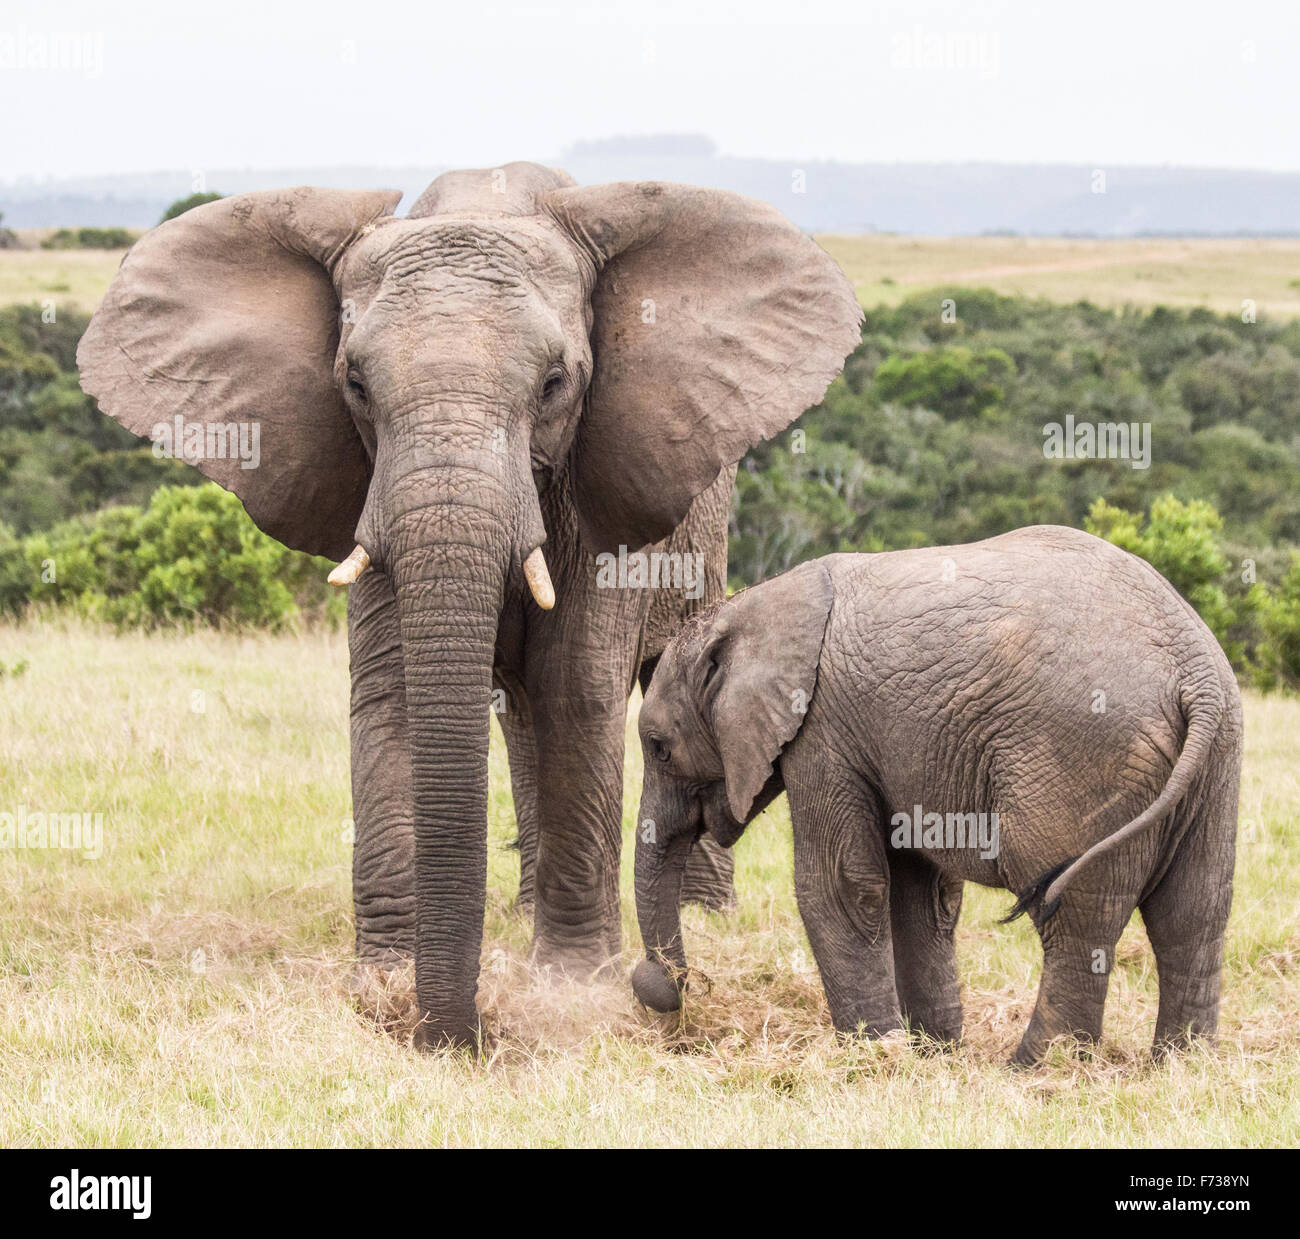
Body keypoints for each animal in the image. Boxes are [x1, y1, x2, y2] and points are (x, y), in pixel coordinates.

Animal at [76, 161, 863, 1046]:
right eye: (355, 384)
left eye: (555, 384)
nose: (468, 1028)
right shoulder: (371, 487)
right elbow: (393, 692)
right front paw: (386, 985)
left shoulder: (597, 485)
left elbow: (577, 688)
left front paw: (571, 988)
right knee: (519, 718)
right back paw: (520, 912)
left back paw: (704, 913)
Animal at [629, 527, 1241, 1065]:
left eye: (658, 748)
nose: (668, 987)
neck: (749, 608)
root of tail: (1197, 672)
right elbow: (921, 892)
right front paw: (933, 1052)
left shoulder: (823, 728)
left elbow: (841, 883)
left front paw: (874, 1055)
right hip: (1217, 761)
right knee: (1195, 910)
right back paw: (1180, 1066)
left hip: (1084, 751)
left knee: (1073, 915)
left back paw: (1036, 1068)